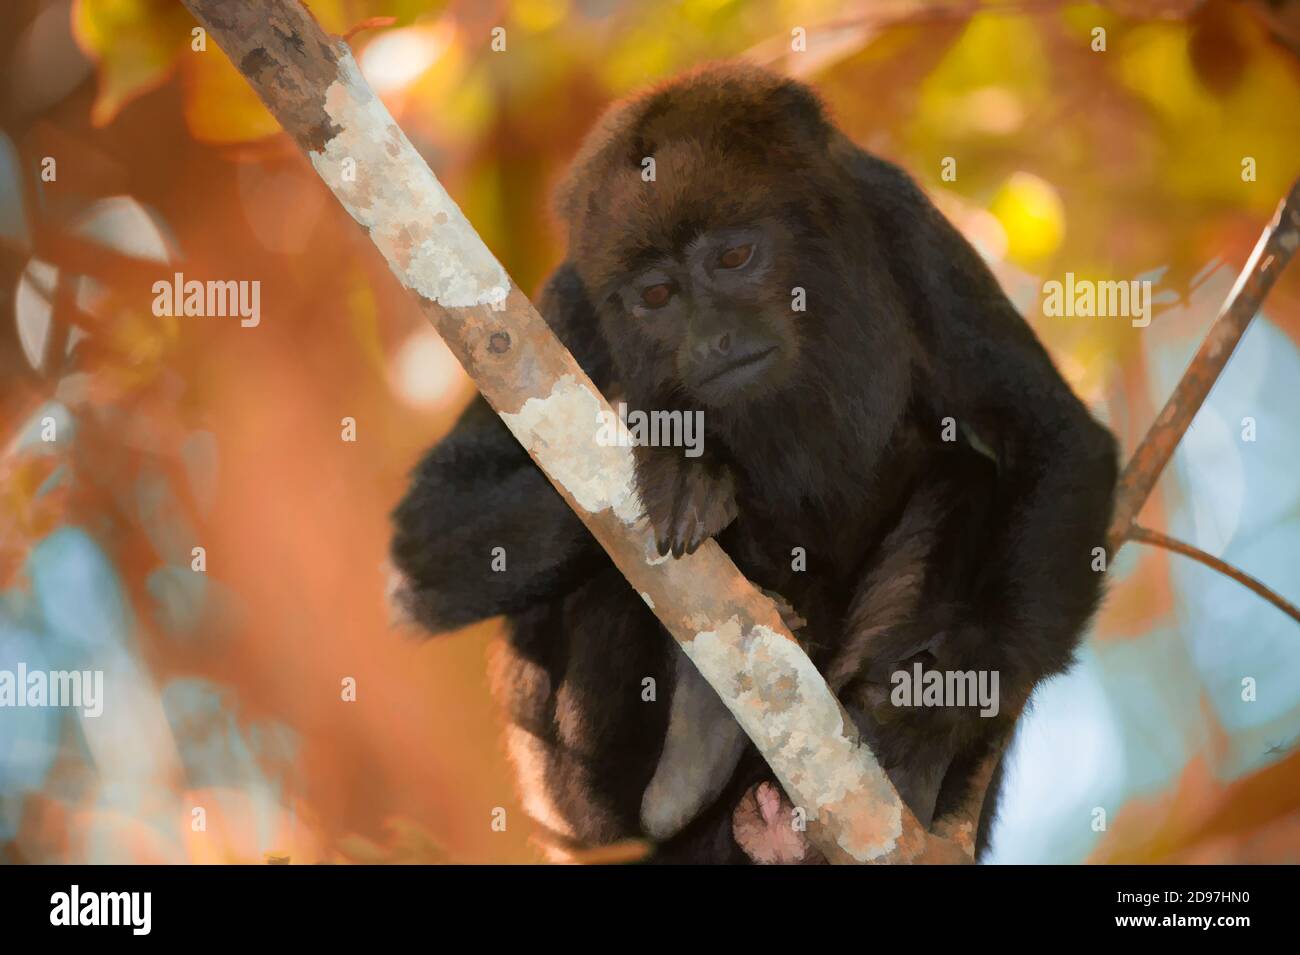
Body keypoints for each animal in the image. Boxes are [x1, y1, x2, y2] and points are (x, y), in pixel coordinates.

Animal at [389, 63, 1118, 863]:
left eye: (733, 258)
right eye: (656, 295)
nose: (713, 340)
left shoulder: (897, 219)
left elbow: (1054, 435)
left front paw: (946, 694)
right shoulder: (569, 303)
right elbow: (427, 537)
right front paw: (680, 453)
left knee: (964, 475)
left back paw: (901, 775)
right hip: (566, 798)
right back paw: (690, 751)